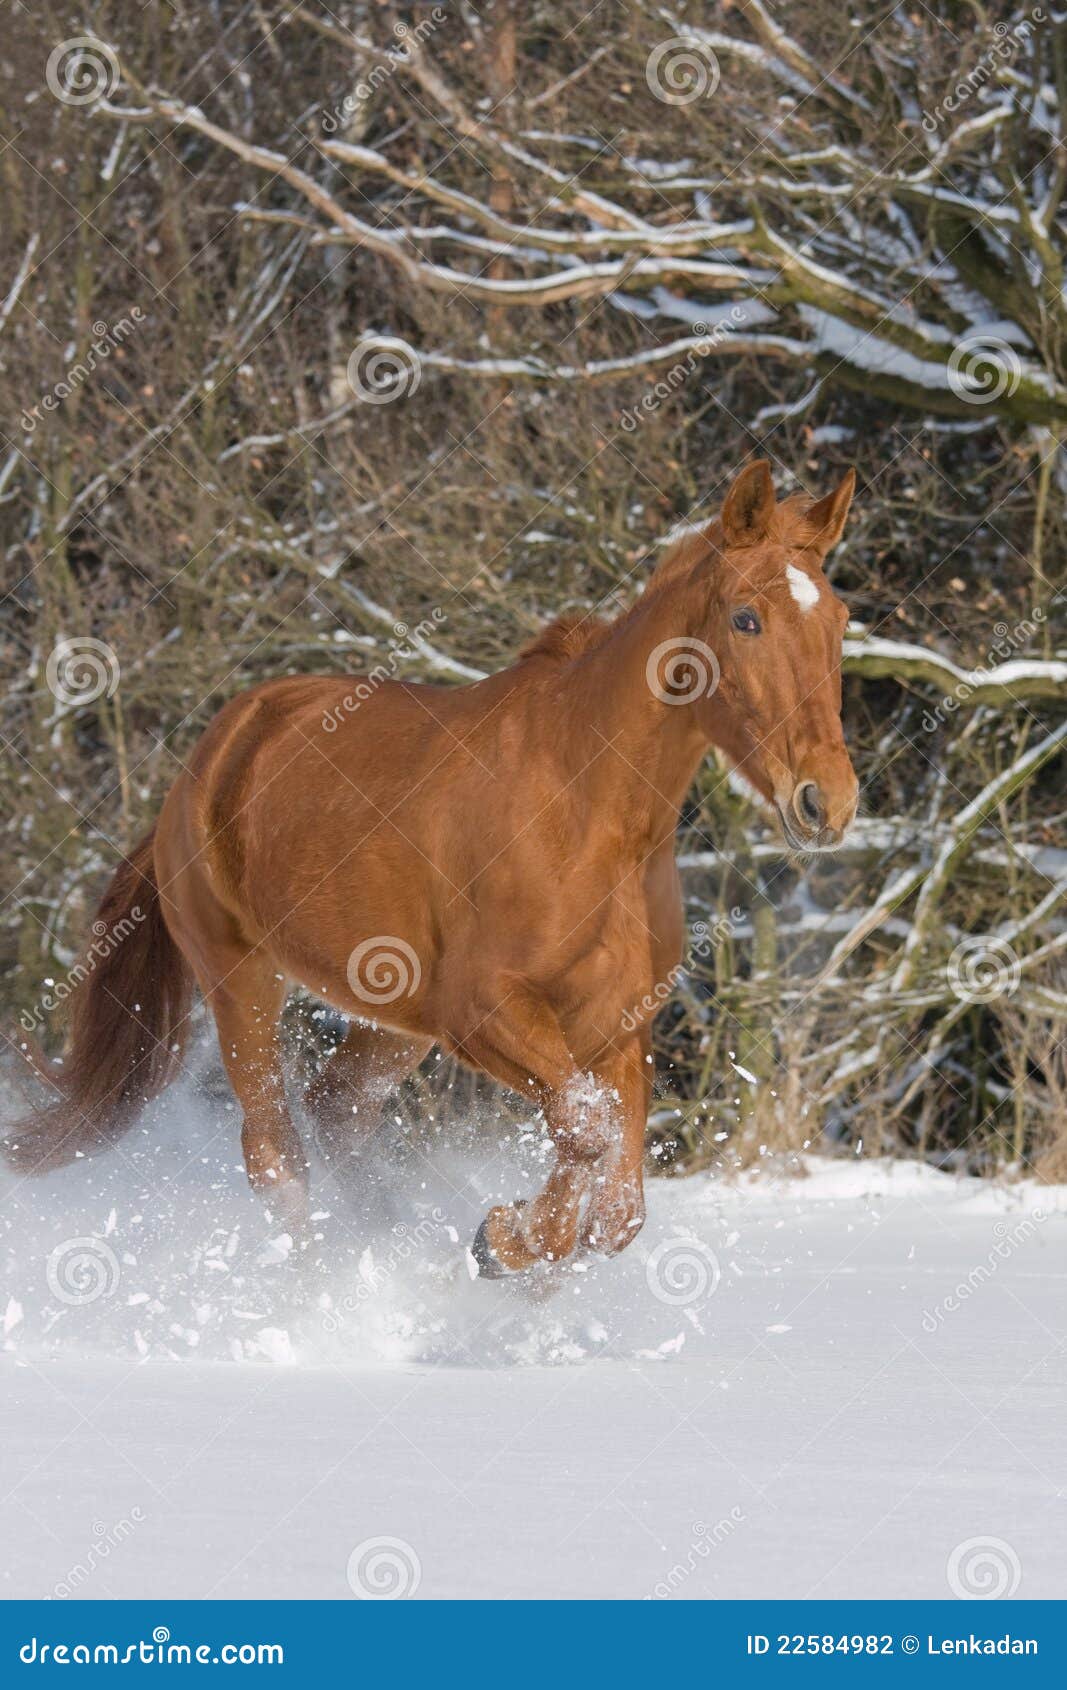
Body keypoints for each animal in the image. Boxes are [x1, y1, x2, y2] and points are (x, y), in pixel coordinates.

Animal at [7, 460, 858, 1277]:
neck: (589, 812)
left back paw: (384, 1240)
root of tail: (203, 767)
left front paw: (518, 1248)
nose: (828, 800)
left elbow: (614, 1204)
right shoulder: (481, 1011)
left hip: (391, 1015)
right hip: (240, 979)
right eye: (745, 618)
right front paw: (505, 1240)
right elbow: (584, 1130)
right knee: (276, 1154)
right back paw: (318, 1280)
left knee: (337, 1108)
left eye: (838, 621)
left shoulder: (613, 1026)